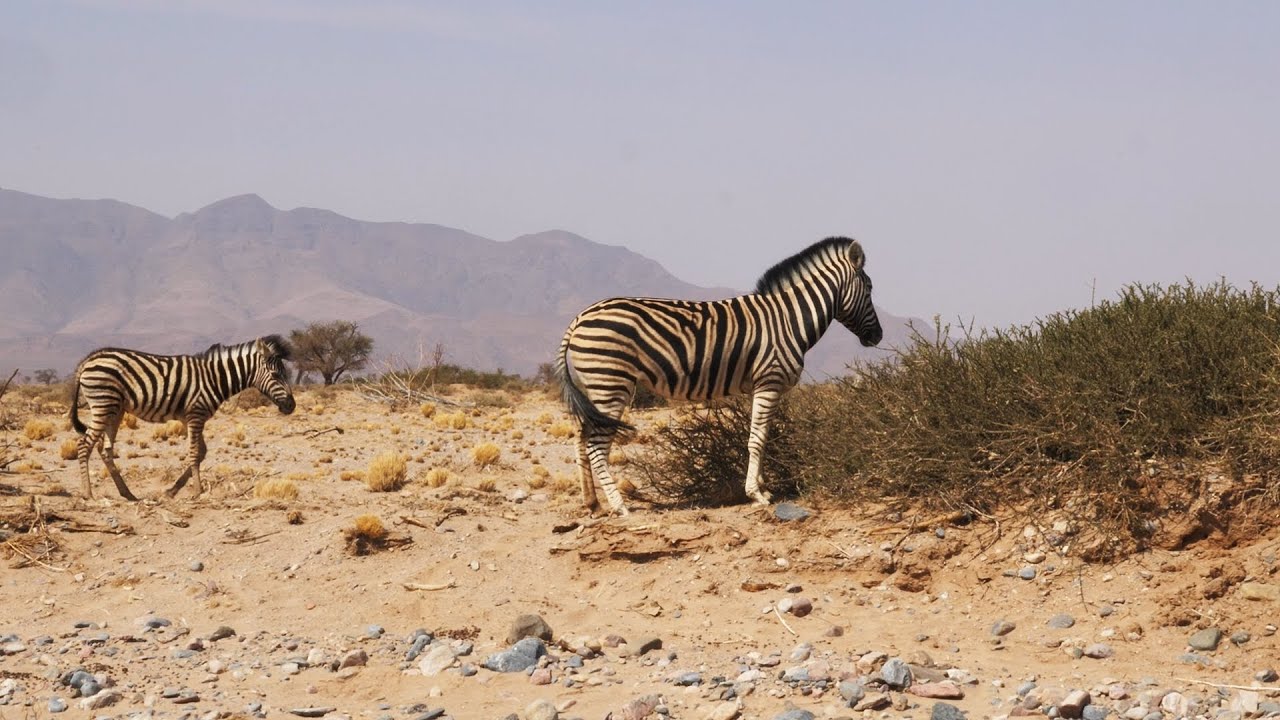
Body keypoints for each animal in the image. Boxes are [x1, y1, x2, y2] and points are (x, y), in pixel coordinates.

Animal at [69, 335, 297, 501]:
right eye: (276, 375)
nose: (292, 406)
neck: (215, 378)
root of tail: (90, 359)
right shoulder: (196, 415)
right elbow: (195, 454)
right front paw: (197, 492)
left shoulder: (192, 418)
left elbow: (202, 452)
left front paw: (173, 490)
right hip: (103, 404)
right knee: (84, 444)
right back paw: (88, 494)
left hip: (114, 410)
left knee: (104, 449)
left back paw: (128, 494)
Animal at [555, 236, 882, 515]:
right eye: (869, 289)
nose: (878, 337)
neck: (789, 320)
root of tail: (580, 317)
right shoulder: (769, 380)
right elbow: (758, 438)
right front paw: (756, 494)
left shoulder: (760, 386)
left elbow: (760, 435)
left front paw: (762, 486)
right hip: (610, 384)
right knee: (595, 445)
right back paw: (619, 506)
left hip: (593, 387)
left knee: (581, 437)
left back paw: (592, 504)